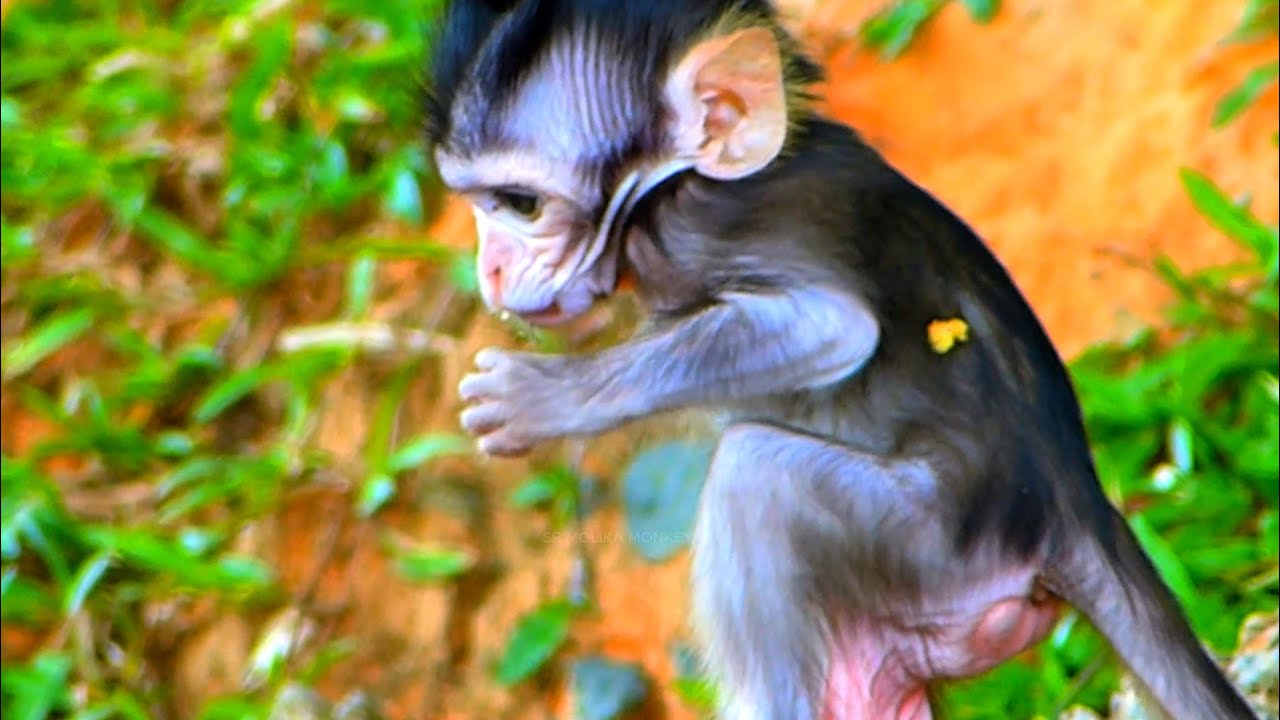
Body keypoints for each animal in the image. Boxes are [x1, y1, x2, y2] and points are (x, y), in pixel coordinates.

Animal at [423, 1, 1258, 718]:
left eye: (522, 205)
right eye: (478, 205)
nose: (489, 269)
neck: (672, 193)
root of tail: (1073, 505)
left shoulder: (702, 229)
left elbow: (833, 329)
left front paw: (544, 397)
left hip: (934, 541)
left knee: (757, 477)